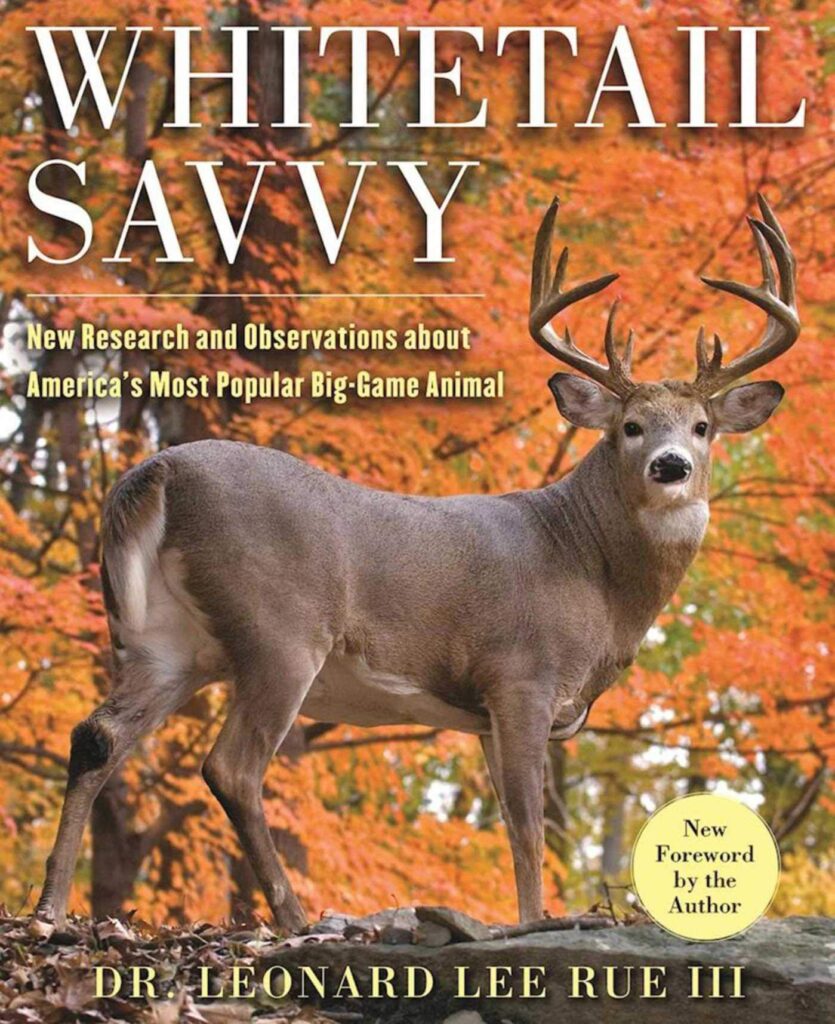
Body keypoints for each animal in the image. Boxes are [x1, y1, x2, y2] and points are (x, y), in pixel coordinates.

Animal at [36, 194, 799, 932]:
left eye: (702, 427)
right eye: (630, 426)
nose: (670, 466)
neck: (592, 570)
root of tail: (155, 472)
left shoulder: (489, 714)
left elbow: (509, 825)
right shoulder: (519, 676)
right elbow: (526, 830)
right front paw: (535, 924)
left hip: (165, 643)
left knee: (98, 735)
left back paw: (50, 910)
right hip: (279, 629)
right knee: (232, 767)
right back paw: (293, 917)